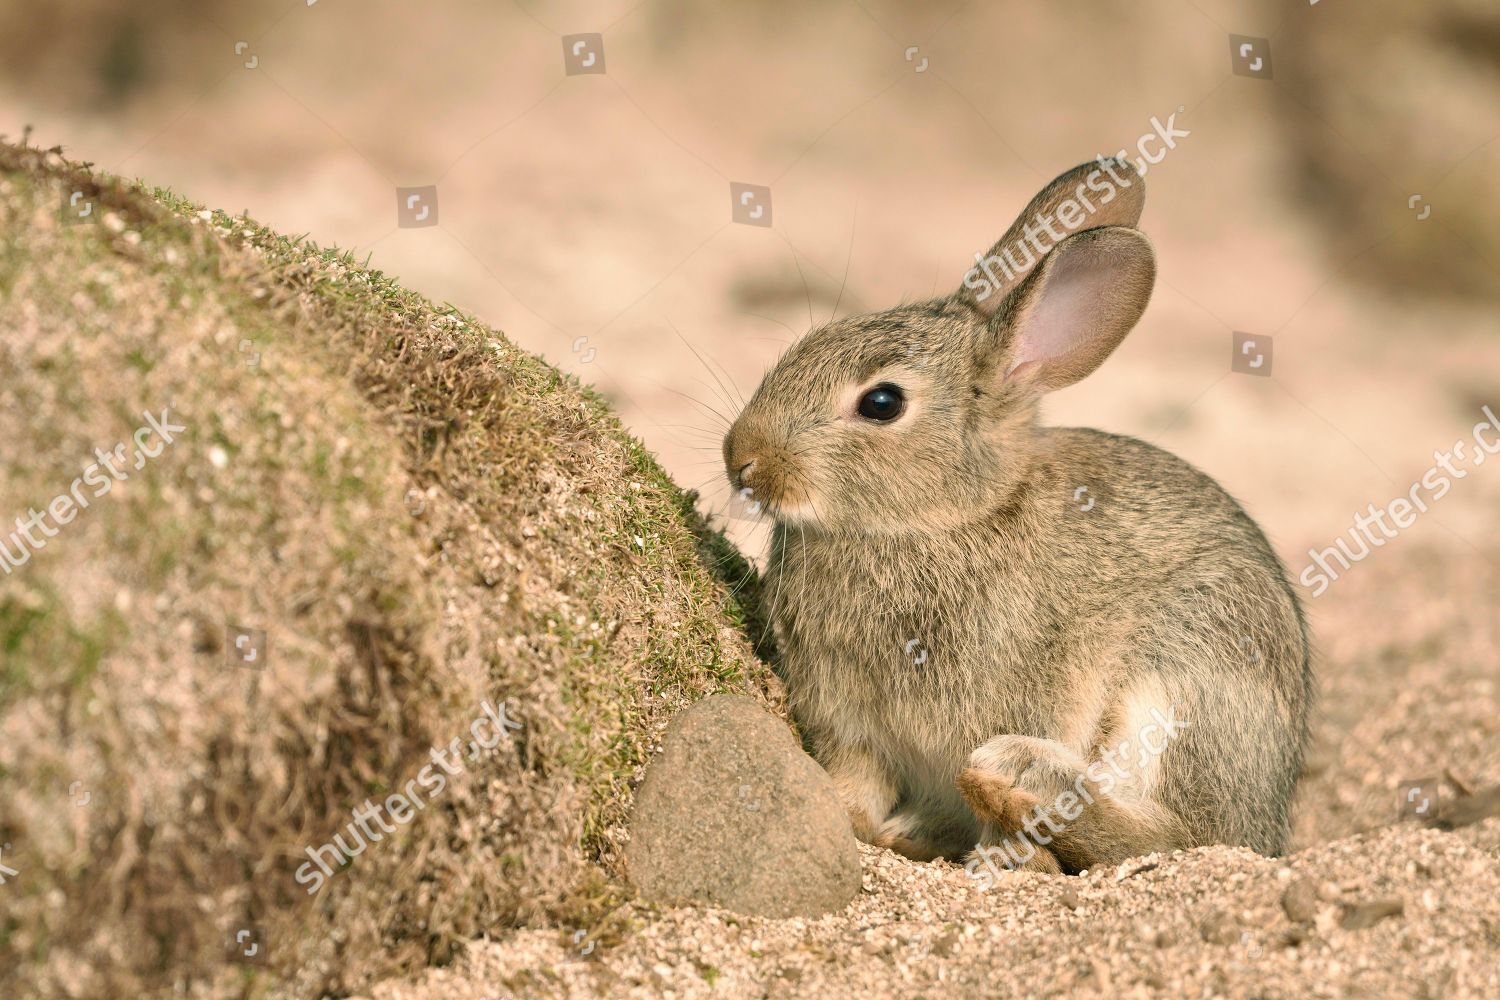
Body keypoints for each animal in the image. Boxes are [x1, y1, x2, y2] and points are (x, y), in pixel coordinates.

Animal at [722, 158, 1311, 878]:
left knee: (1183, 835)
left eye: (882, 403)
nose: (741, 460)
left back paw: (1022, 778)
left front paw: (1000, 858)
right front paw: (867, 824)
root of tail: (1270, 822)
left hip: (1189, 672)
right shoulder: (851, 726)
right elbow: (854, 791)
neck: (939, 520)